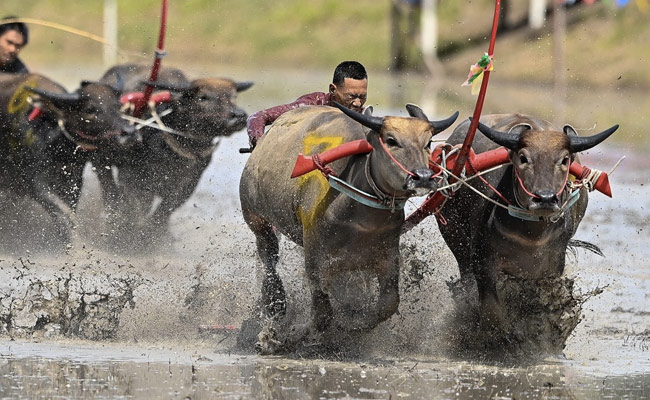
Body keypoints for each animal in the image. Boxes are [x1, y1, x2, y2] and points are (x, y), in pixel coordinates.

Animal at [0, 72, 132, 243]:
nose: (129, 132)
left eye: (117, 106)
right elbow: (64, 215)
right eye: (90, 109)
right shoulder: (36, 183)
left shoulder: (72, 181)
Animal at [96, 64, 253, 236]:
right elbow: (135, 206)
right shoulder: (132, 177)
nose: (238, 115)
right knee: (109, 190)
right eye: (203, 97)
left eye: (233, 96)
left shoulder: (189, 182)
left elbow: (166, 209)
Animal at [239, 103, 458, 350]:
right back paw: (274, 304)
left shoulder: (388, 258)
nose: (422, 177)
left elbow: (387, 306)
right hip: (257, 219)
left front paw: (352, 325)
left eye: (428, 142)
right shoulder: (315, 261)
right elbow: (323, 315)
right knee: (269, 260)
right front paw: (286, 337)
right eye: (391, 140)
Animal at [437, 114, 618, 329]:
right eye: (523, 158)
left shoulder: (552, 265)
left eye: (564, 160)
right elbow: (492, 311)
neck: (530, 236)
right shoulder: (482, 259)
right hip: (454, 237)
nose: (545, 198)